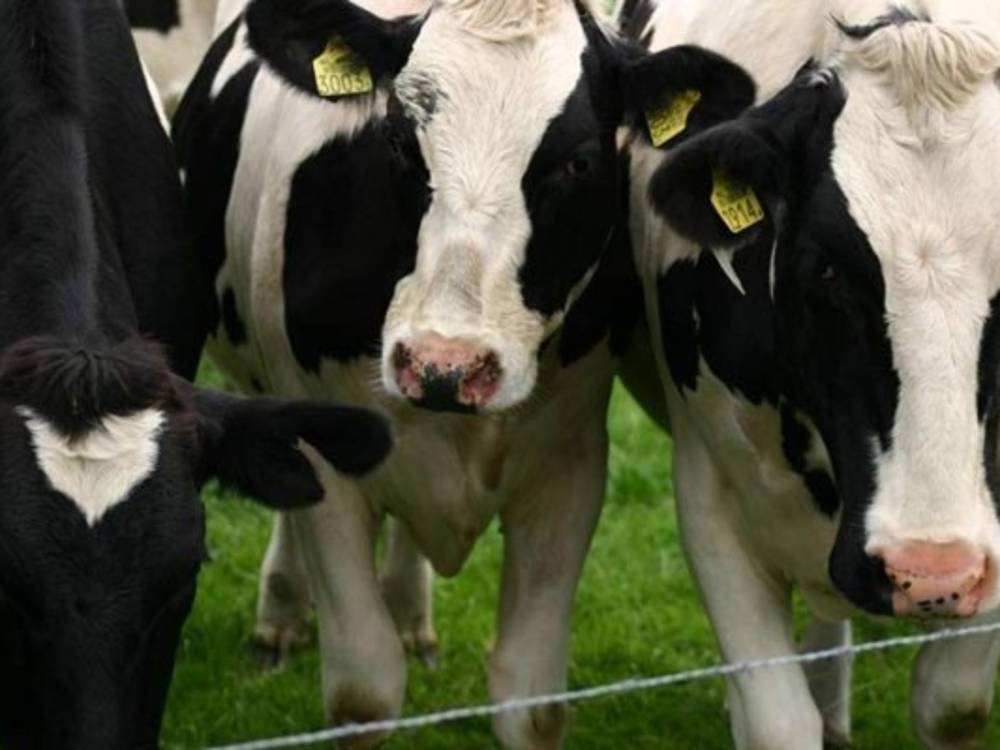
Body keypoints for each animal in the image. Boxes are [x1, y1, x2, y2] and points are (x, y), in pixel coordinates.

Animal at [171, 0, 760, 746]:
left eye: (580, 160)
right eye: (398, 144)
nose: (443, 364)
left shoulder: (567, 467)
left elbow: (530, 700)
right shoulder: (328, 462)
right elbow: (363, 691)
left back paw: (408, 611)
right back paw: (281, 615)